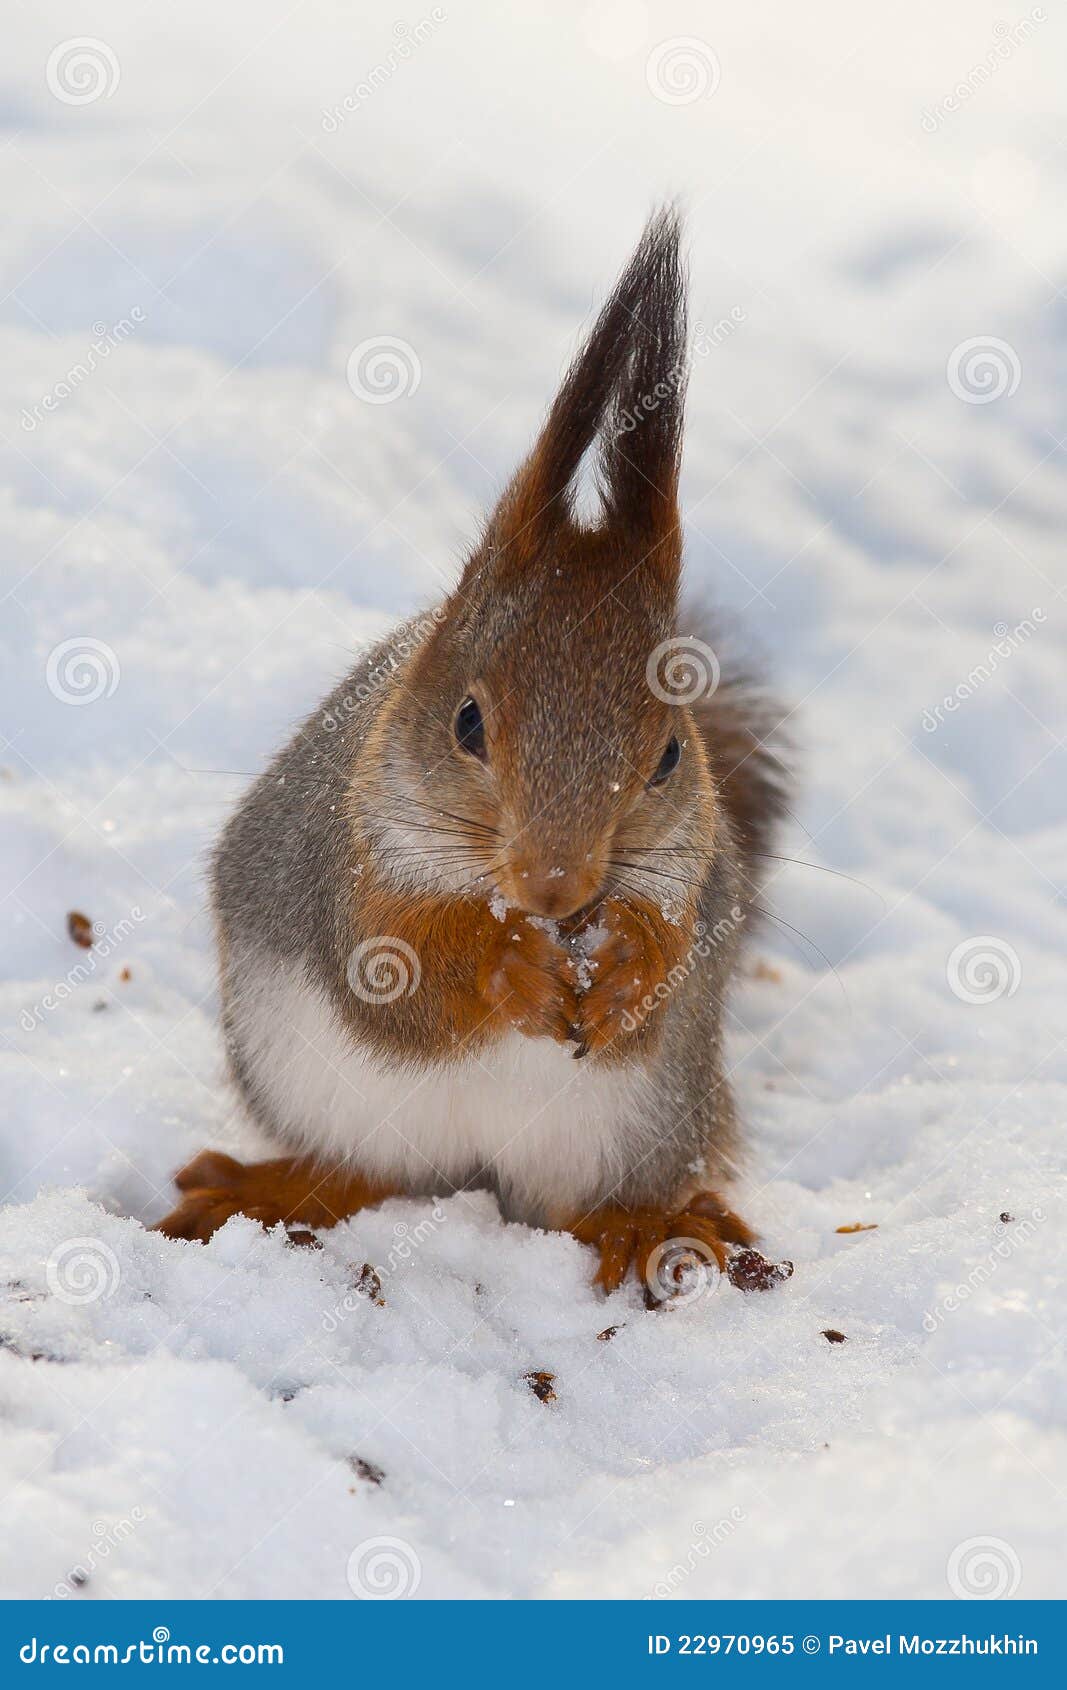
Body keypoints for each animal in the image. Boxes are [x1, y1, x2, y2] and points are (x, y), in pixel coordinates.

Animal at [156, 211, 791, 1299]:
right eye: (465, 724)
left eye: (671, 754)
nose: (554, 885)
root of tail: (472, 1170)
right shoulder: (345, 868)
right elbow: (393, 978)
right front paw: (507, 969)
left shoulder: (694, 879)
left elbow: (665, 974)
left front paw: (625, 972)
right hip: (313, 1085)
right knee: (359, 1170)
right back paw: (275, 1188)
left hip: (647, 1121)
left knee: (581, 1203)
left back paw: (644, 1224)